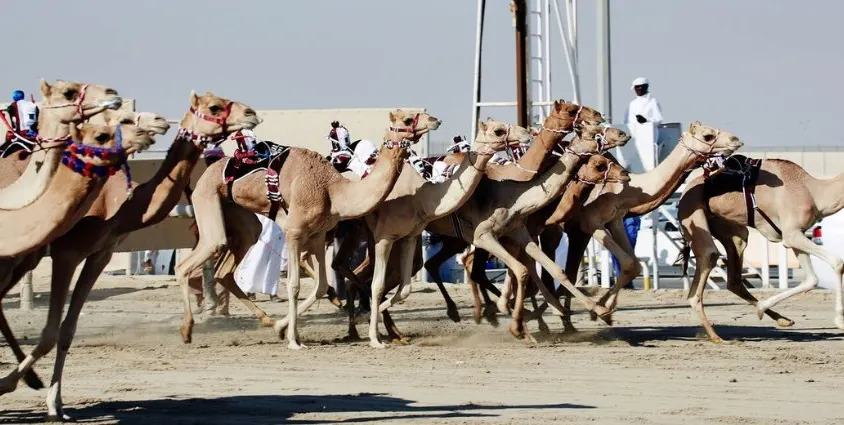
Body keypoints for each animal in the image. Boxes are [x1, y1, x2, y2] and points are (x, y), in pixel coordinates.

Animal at [0, 91, 259, 421]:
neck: (120, 205)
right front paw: (35, 396)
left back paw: (30, 379)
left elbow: (67, 330)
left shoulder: (101, 253)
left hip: (22, 258)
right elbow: (50, 333)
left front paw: (54, 401)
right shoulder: (68, 252)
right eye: (214, 106)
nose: (251, 114)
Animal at [175, 109, 442, 349]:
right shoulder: (294, 232)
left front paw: (286, 329)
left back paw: (267, 321)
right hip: (207, 197)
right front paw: (294, 341)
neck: (333, 190)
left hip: (240, 216)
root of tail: (208, 170)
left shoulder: (318, 234)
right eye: (407, 118)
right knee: (189, 262)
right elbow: (294, 285)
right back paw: (186, 330)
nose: (435, 119)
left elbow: (321, 285)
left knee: (226, 268)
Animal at [677, 154, 844, 343]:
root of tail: (683, 193)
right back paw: (716, 336)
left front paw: (763, 307)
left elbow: (811, 279)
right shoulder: (792, 234)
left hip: (730, 228)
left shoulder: (794, 235)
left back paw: (783, 319)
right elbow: (837, 262)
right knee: (706, 263)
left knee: (734, 276)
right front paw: (840, 320)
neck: (813, 192)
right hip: (692, 212)